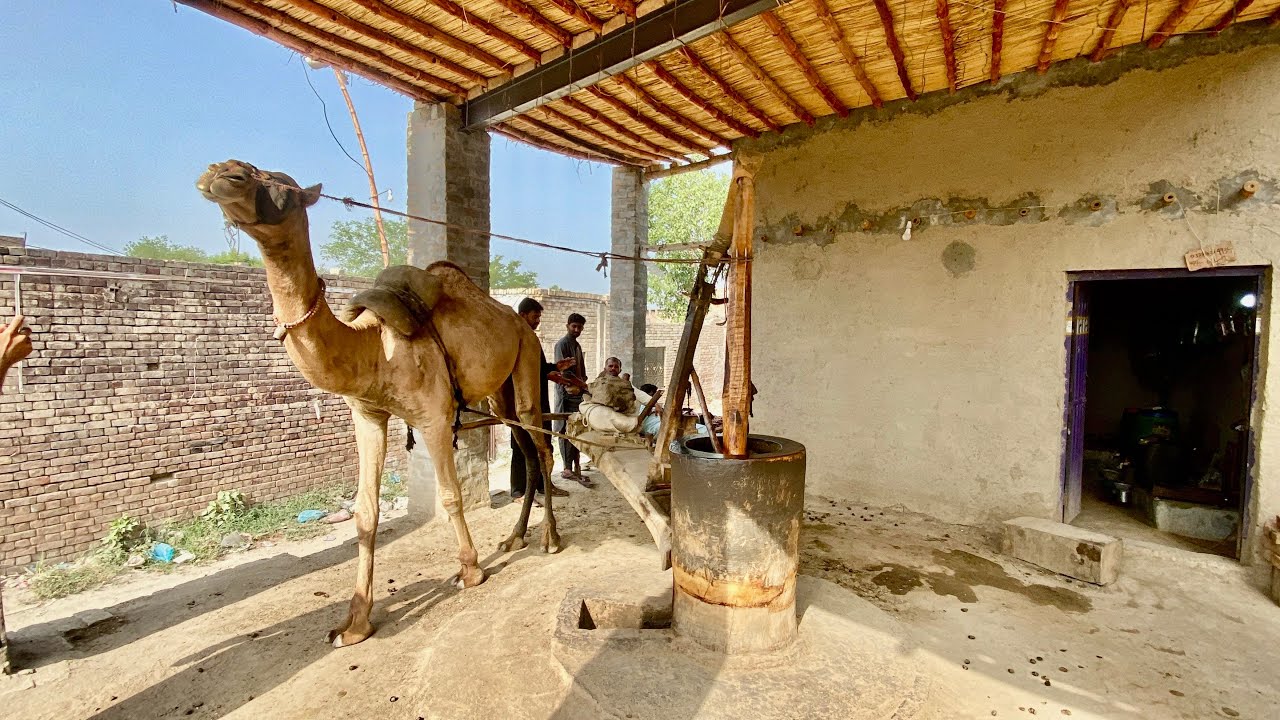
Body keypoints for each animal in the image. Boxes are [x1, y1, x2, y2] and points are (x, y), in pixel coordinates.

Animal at [196, 160, 558, 648]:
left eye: (276, 183)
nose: (222, 172)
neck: (375, 348)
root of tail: (523, 324)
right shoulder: (367, 415)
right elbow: (366, 513)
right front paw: (354, 623)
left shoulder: (434, 418)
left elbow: (451, 496)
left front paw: (470, 571)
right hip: (499, 392)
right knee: (526, 449)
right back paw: (516, 538)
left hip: (527, 361)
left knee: (542, 445)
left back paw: (551, 539)